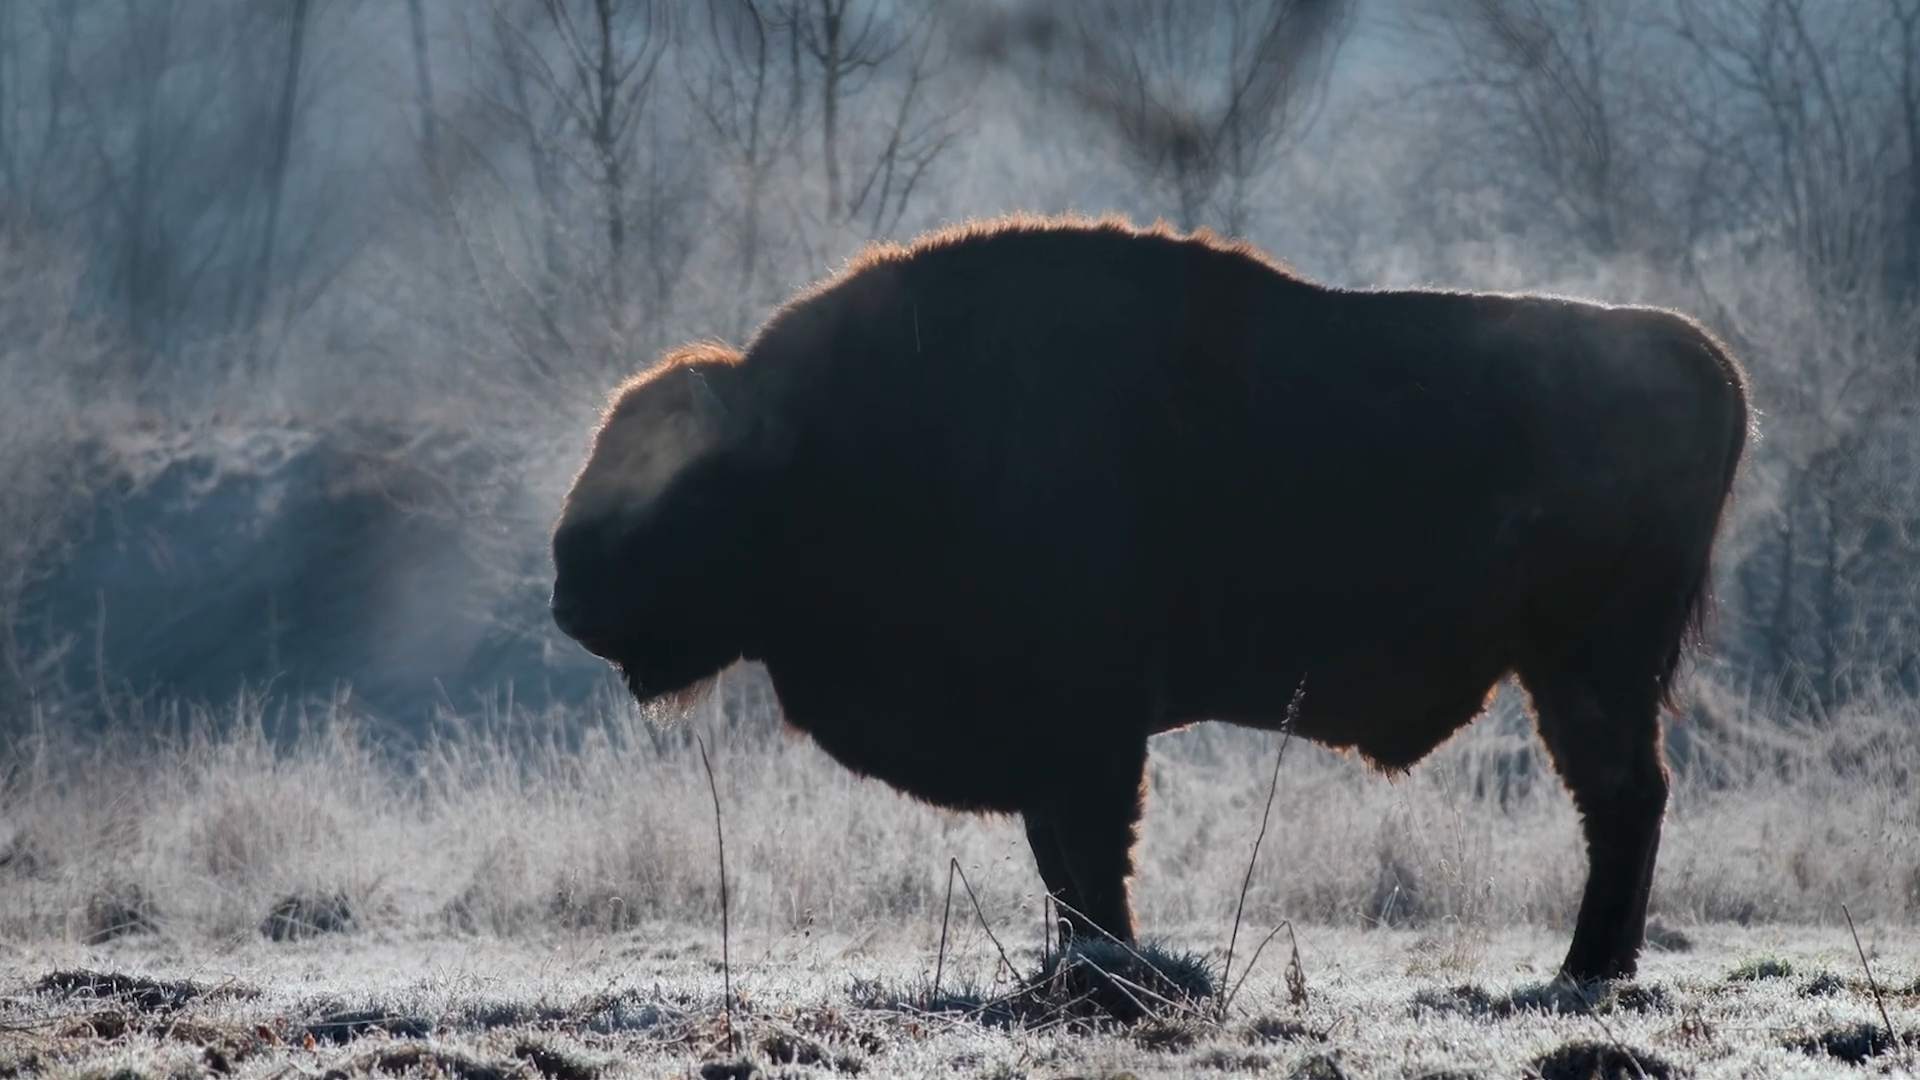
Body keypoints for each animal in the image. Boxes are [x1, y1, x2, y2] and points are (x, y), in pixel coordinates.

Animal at [549, 214, 1750, 983]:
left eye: (673, 483)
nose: (566, 589)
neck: (819, 447)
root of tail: (1702, 357)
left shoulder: (1088, 735)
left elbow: (1091, 864)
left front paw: (1106, 971)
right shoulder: (1044, 748)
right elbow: (1058, 864)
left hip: (1588, 668)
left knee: (1624, 799)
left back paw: (1585, 970)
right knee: (1627, 799)